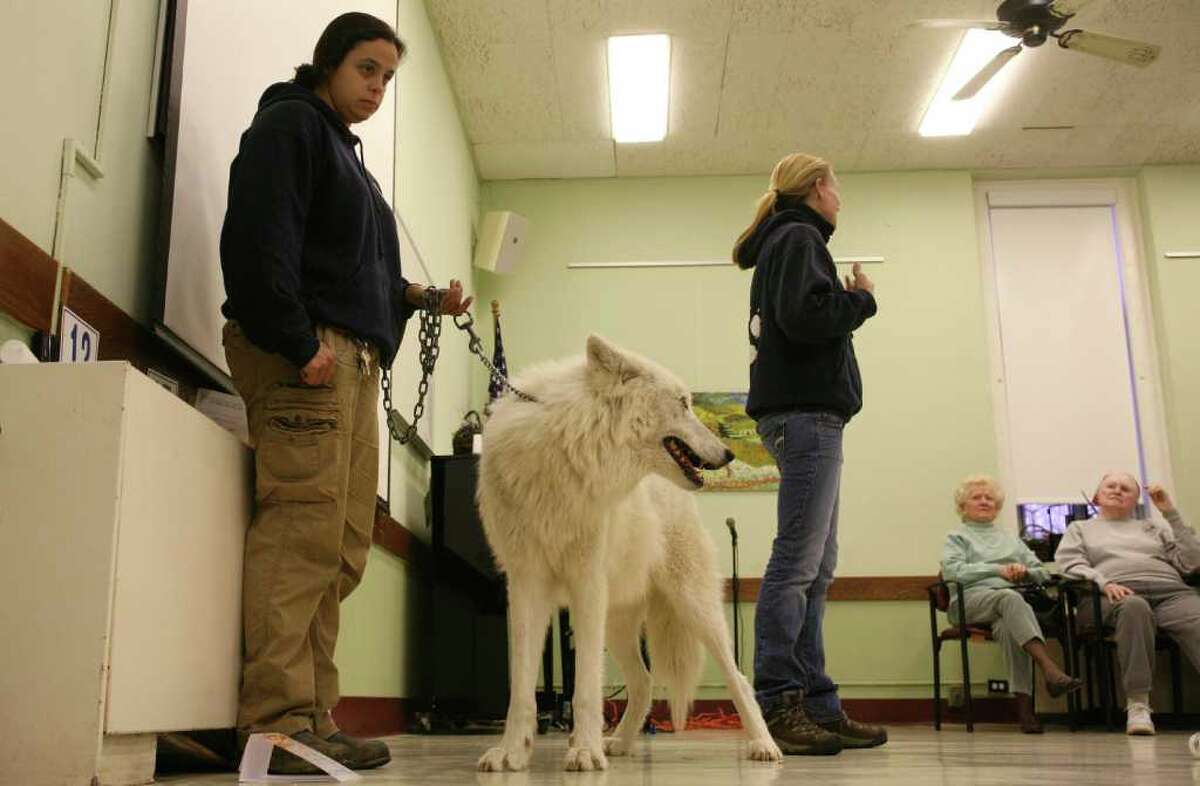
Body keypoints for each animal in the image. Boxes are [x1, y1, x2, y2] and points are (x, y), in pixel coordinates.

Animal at [476, 335, 782, 772]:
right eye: (683, 403)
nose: (728, 453)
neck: (567, 451)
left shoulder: (586, 583)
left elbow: (586, 688)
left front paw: (584, 751)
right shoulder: (526, 586)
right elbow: (521, 689)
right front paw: (512, 753)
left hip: (694, 609)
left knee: (738, 679)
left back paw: (763, 745)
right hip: (618, 624)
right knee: (643, 682)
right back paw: (618, 743)